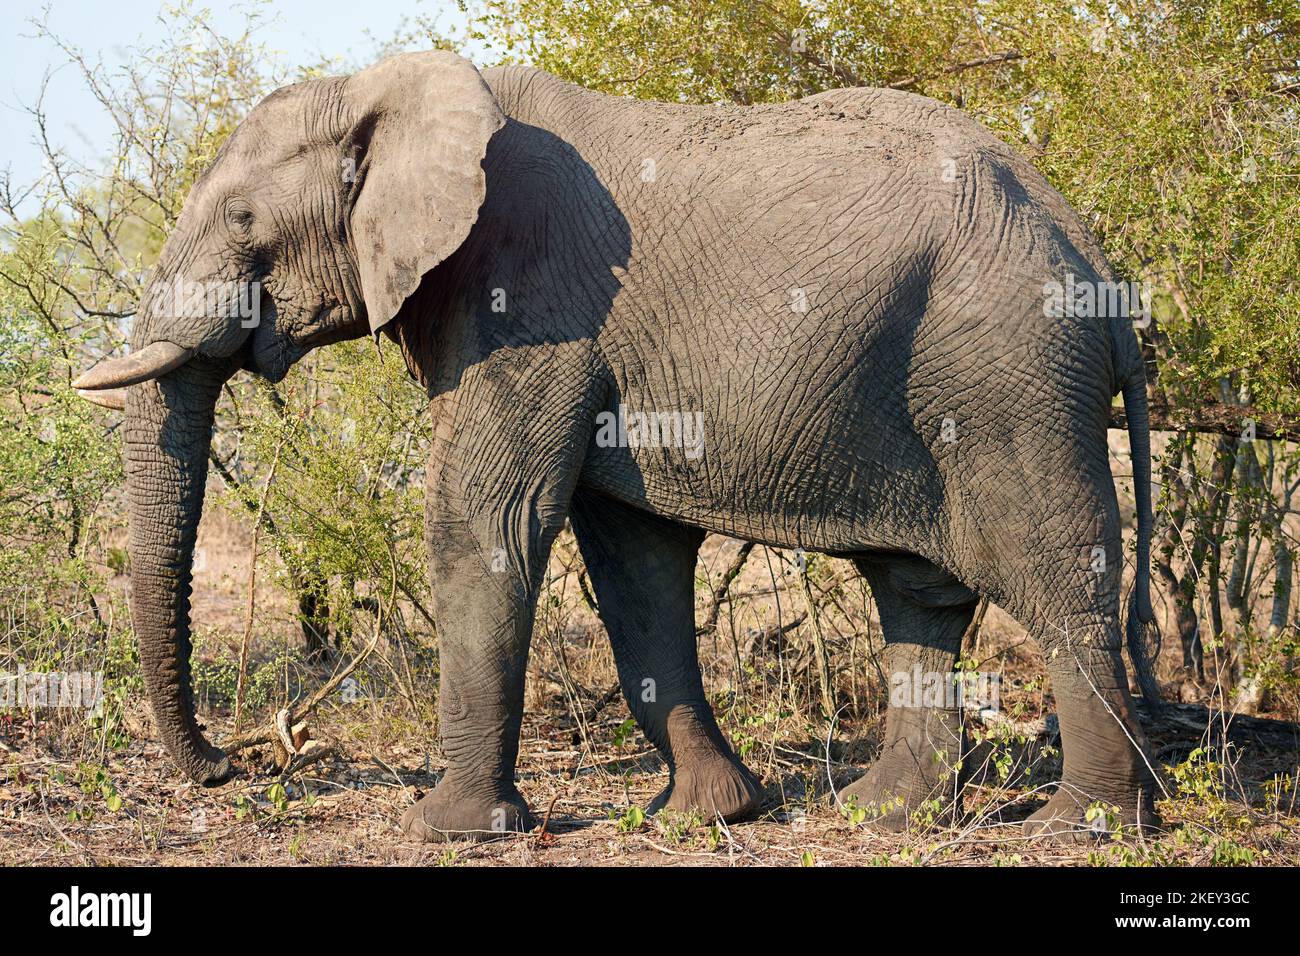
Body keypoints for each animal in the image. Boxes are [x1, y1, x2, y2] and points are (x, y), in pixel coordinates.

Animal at [74, 50, 1161, 841]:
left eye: (243, 220)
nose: (233, 763)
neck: (390, 87)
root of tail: (1097, 262)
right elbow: (633, 562)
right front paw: (704, 813)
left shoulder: (532, 302)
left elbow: (487, 520)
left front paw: (449, 828)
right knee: (916, 590)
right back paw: (881, 813)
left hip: (1006, 367)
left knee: (1052, 574)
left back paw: (1082, 824)